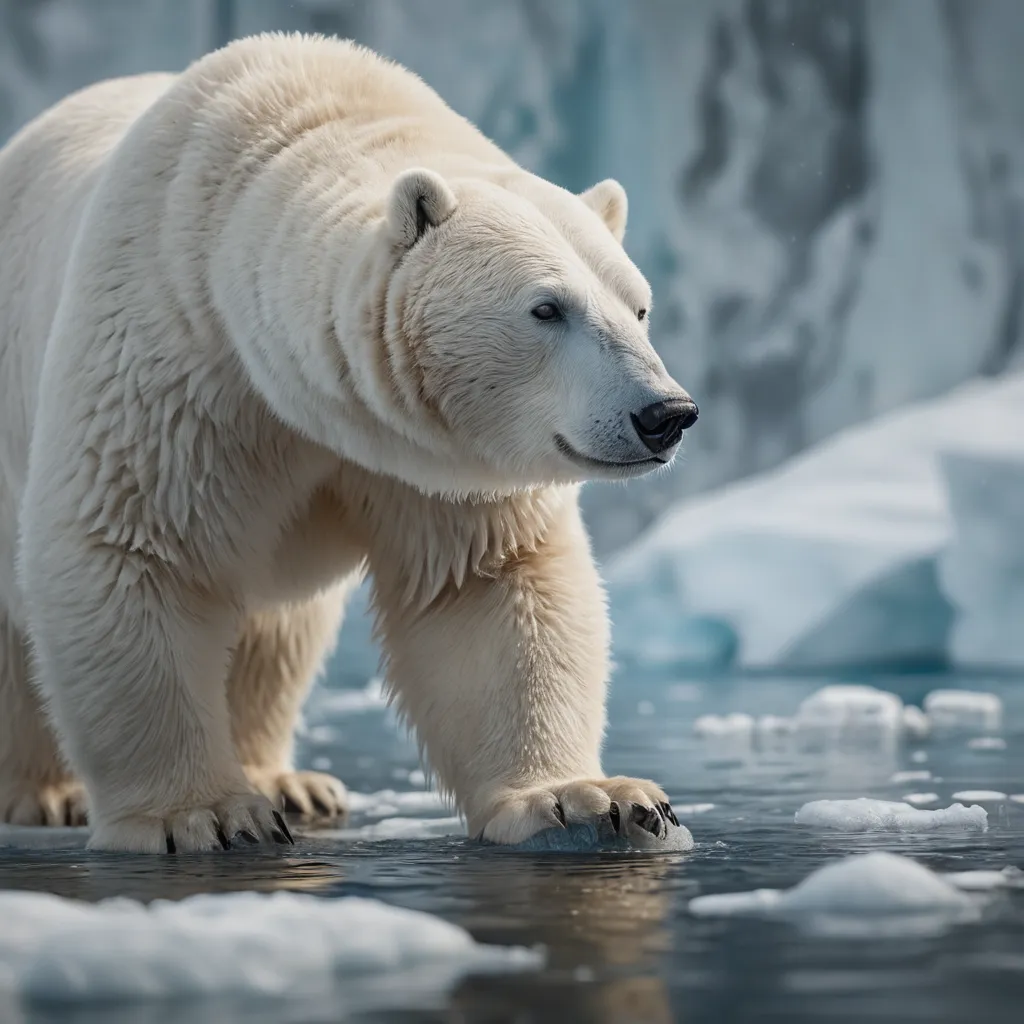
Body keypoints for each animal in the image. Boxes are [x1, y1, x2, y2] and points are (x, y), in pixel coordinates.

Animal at [0, 33, 698, 853]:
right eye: (547, 307)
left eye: (639, 307)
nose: (665, 413)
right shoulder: (173, 351)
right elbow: (135, 548)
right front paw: (201, 816)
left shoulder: (440, 463)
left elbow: (487, 586)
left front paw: (589, 800)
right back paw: (44, 792)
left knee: (278, 633)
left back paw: (289, 782)